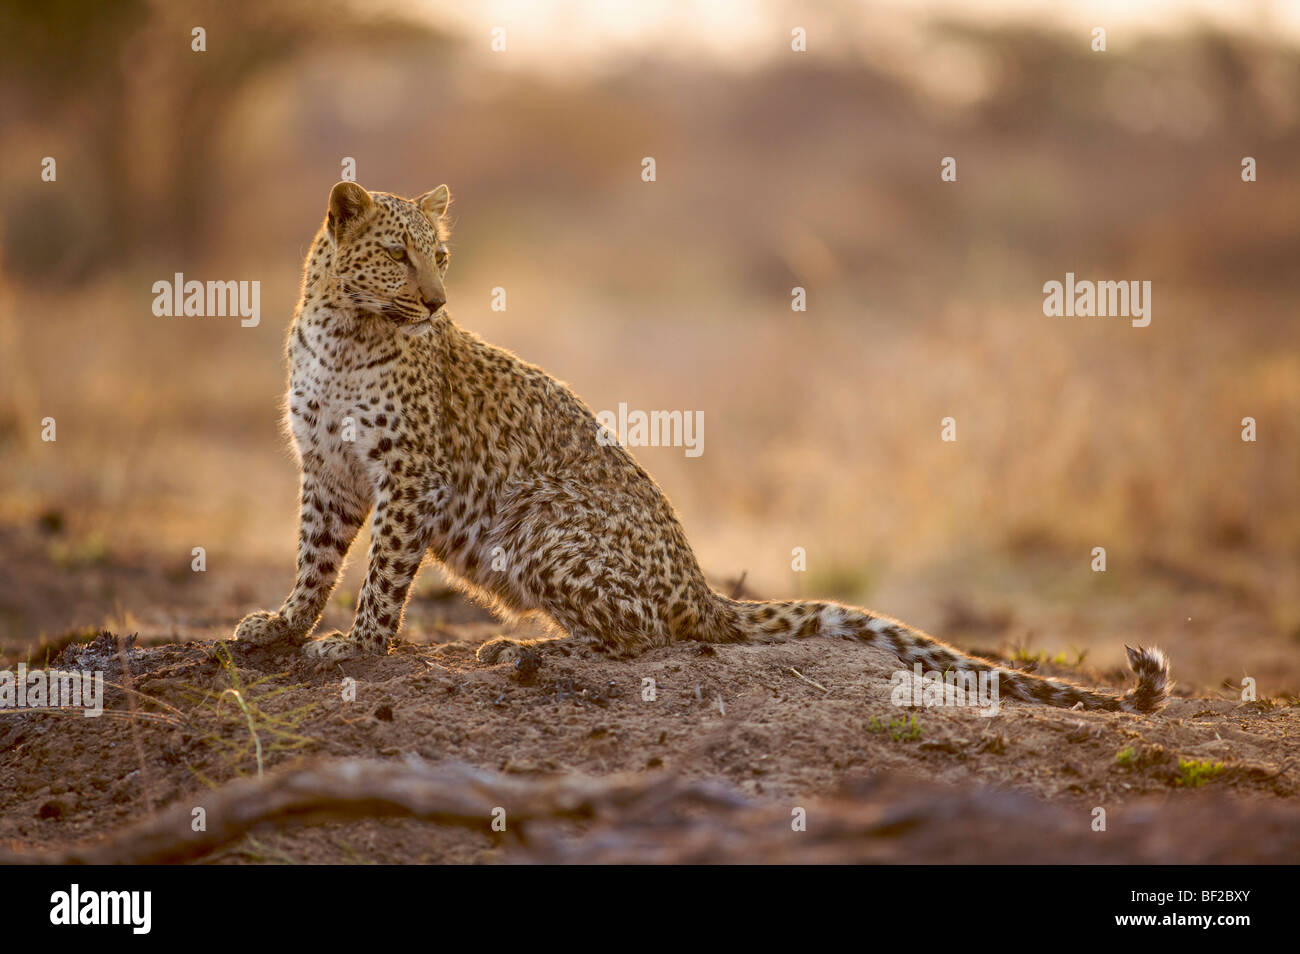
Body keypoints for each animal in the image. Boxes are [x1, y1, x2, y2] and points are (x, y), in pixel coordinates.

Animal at [233, 180, 1172, 714]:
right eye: (399, 255)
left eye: (442, 256)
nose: (435, 302)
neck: (341, 333)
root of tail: (701, 584)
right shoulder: (327, 472)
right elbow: (314, 562)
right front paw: (280, 627)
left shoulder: (411, 478)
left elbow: (383, 573)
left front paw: (357, 647)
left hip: (546, 530)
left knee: (649, 634)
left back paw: (528, 651)